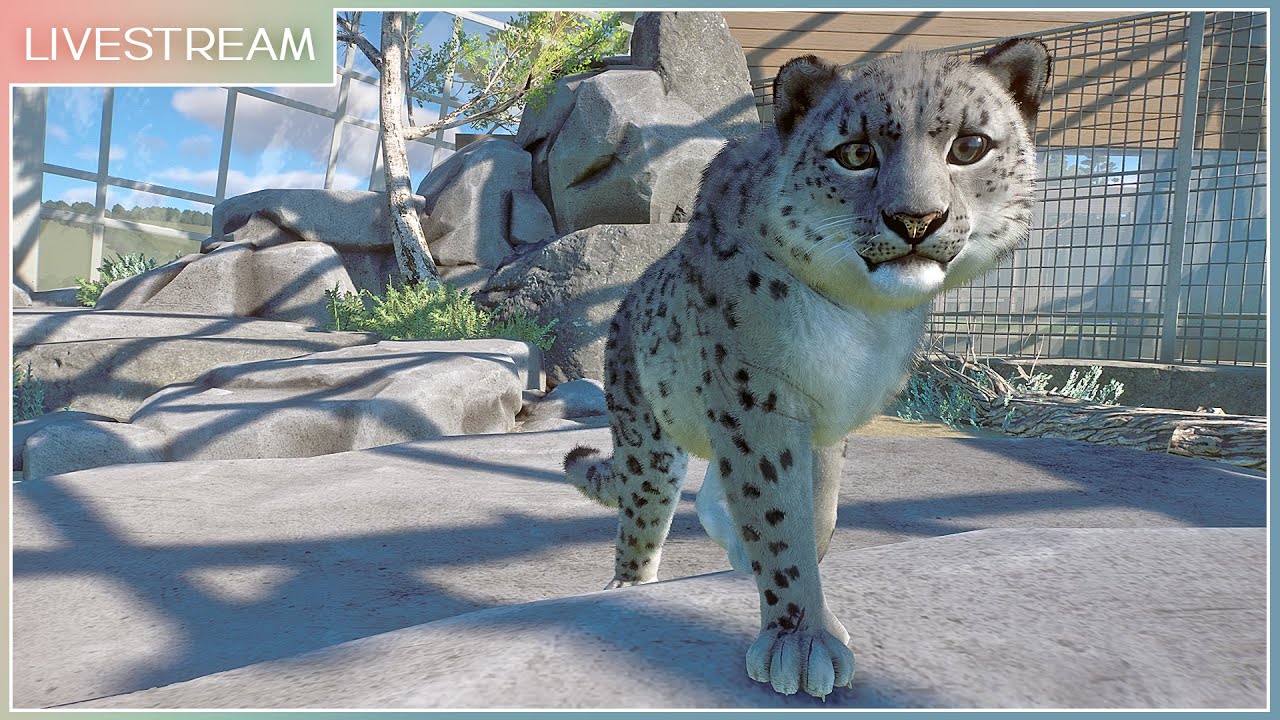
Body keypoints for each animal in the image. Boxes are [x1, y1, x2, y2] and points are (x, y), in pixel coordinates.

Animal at [564, 38, 1052, 698]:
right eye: (856, 152)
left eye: (970, 146)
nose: (916, 220)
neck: (866, 320)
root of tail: (622, 310)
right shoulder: (759, 404)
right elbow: (777, 513)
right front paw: (799, 641)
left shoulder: (825, 422)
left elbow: (816, 511)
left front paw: (809, 605)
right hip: (648, 439)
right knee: (643, 512)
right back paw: (629, 582)